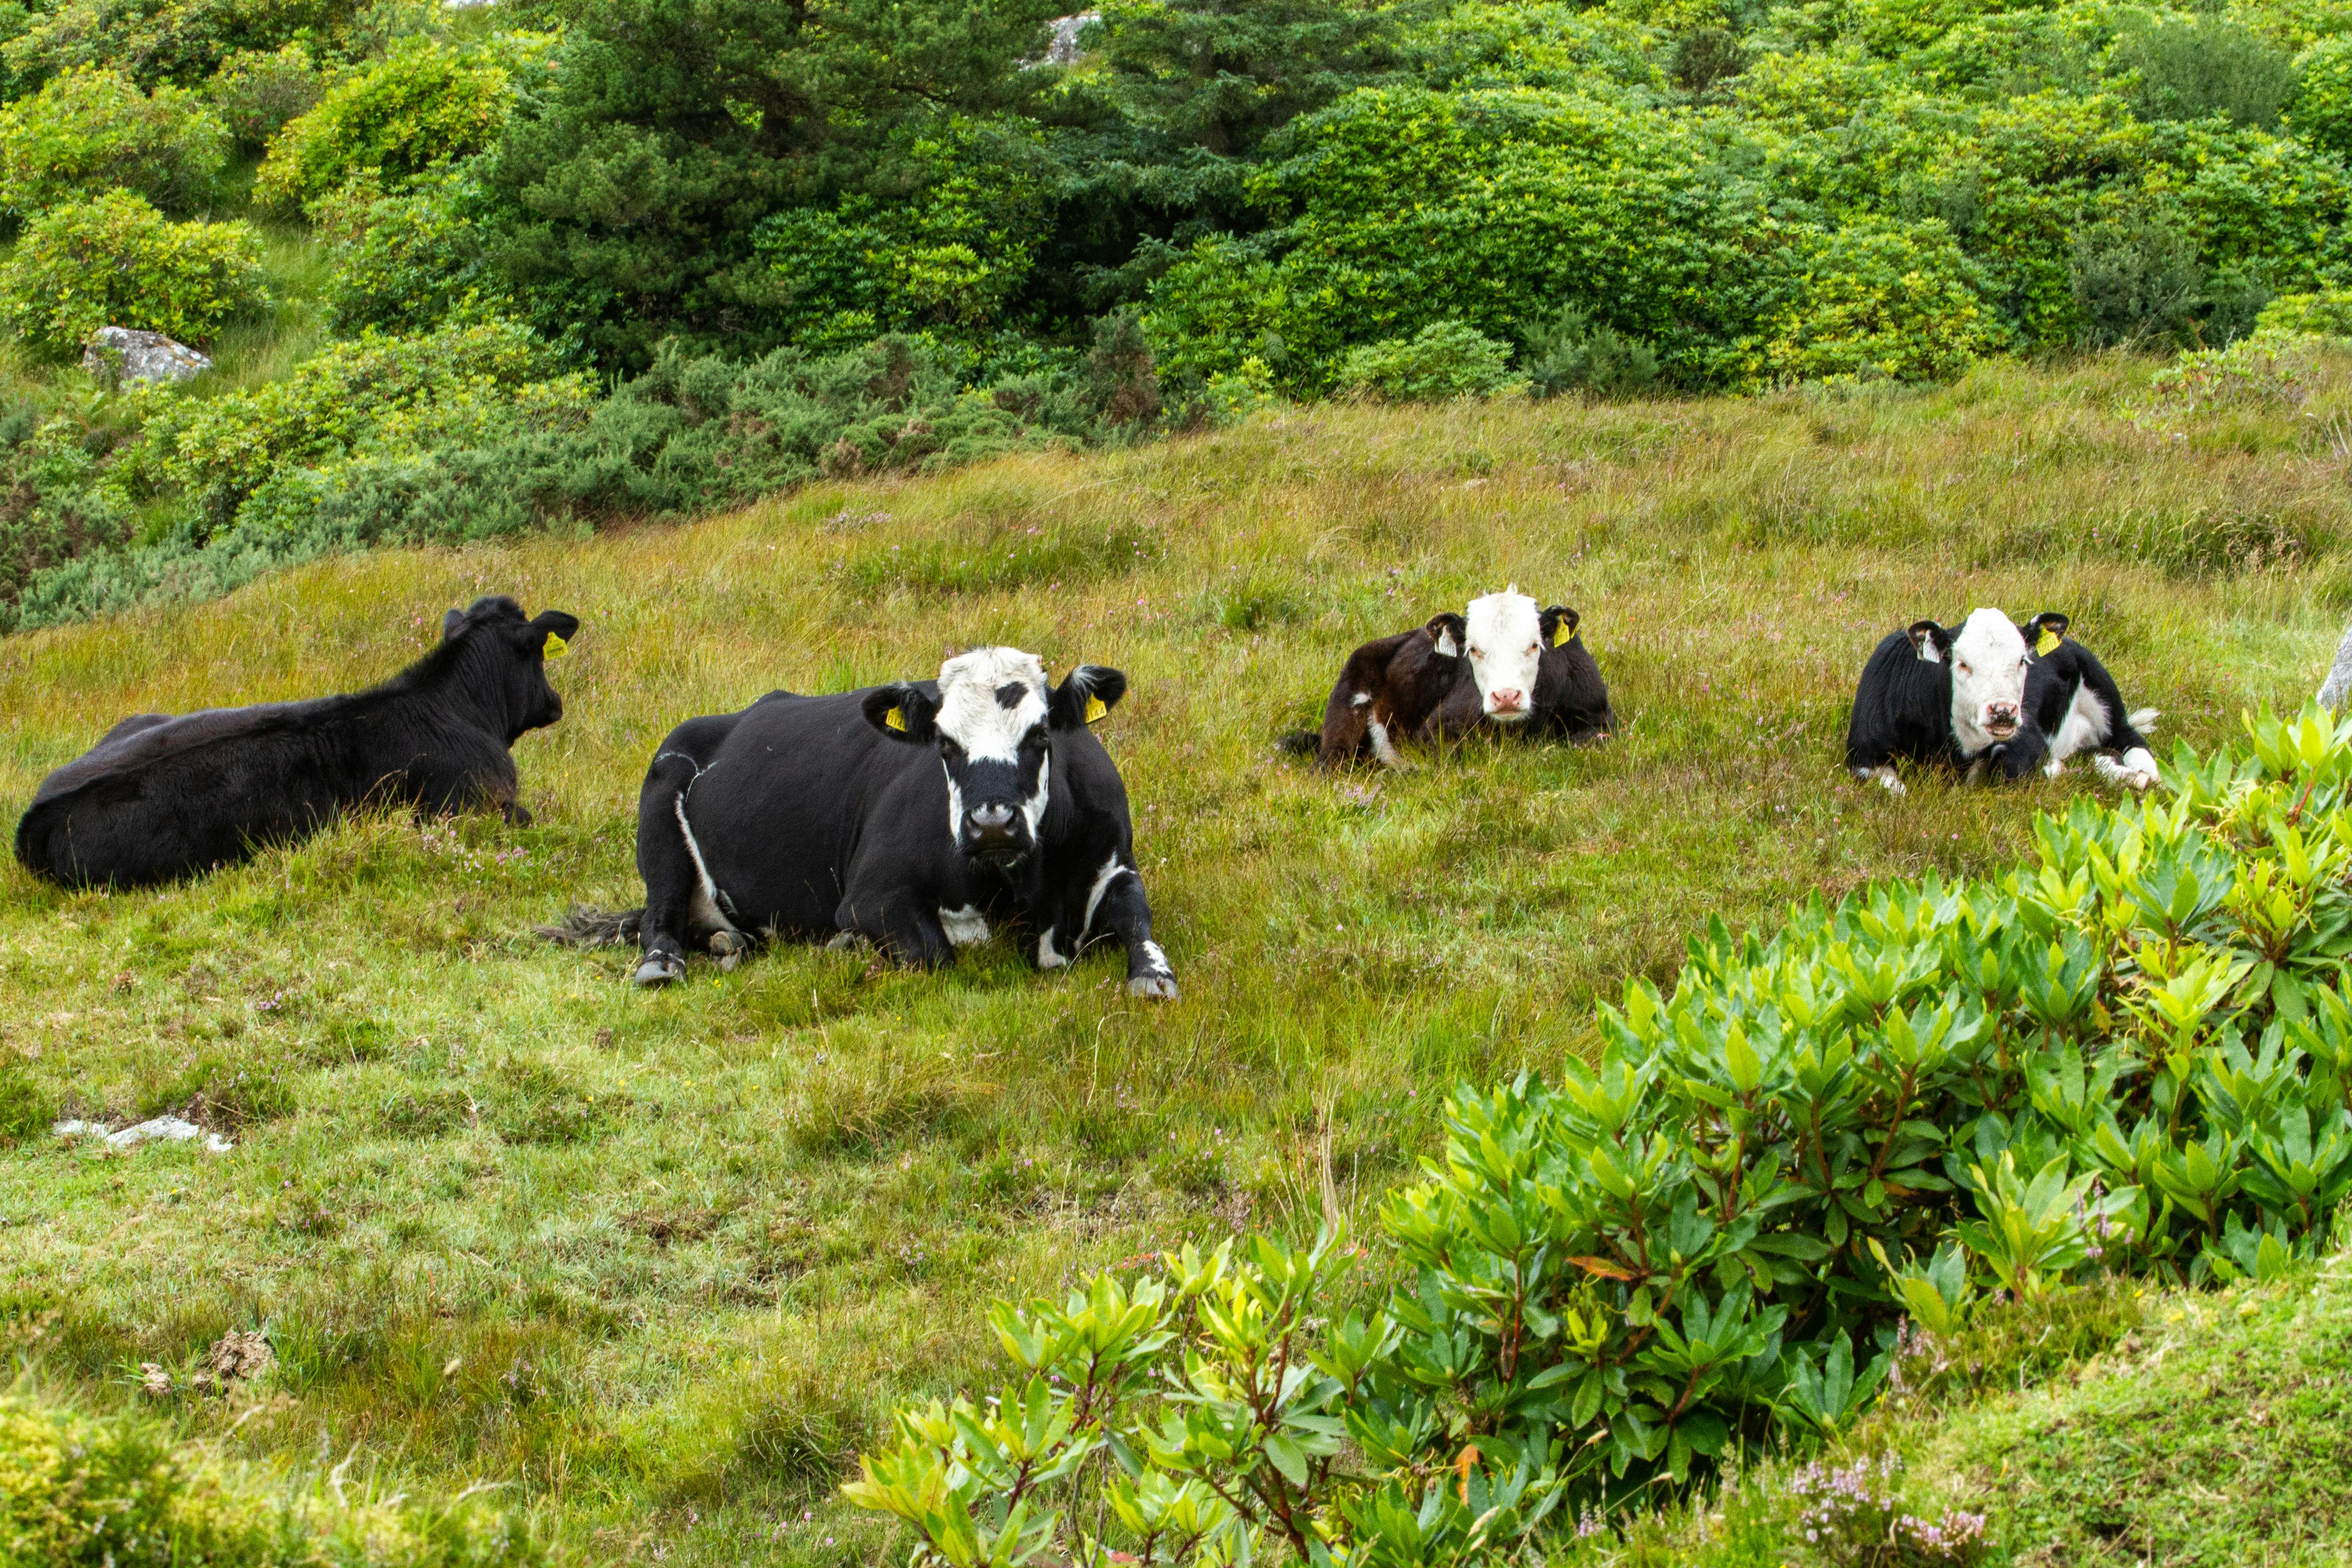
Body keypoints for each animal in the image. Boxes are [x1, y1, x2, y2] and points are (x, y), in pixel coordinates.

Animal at [561, 646, 1178, 998]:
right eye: (944, 744)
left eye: (1041, 735)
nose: (992, 824)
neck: (1028, 890)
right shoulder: (871, 894)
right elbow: (936, 952)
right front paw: (853, 947)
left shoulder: (1115, 866)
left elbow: (1138, 919)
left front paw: (1154, 975)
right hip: (660, 807)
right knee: (659, 914)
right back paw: (663, 963)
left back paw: (727, 942)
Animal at [1845, 608, 2157, 794]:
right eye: (1963, 664)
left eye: (2022, 660)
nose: (2003, 711)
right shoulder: (1862, 754)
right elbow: (1895, 788)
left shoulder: (2027, 740)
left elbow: (2011, 770)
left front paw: (2055, 768)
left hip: (2103, 691)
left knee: (2130, 739)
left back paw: (2142, 774)